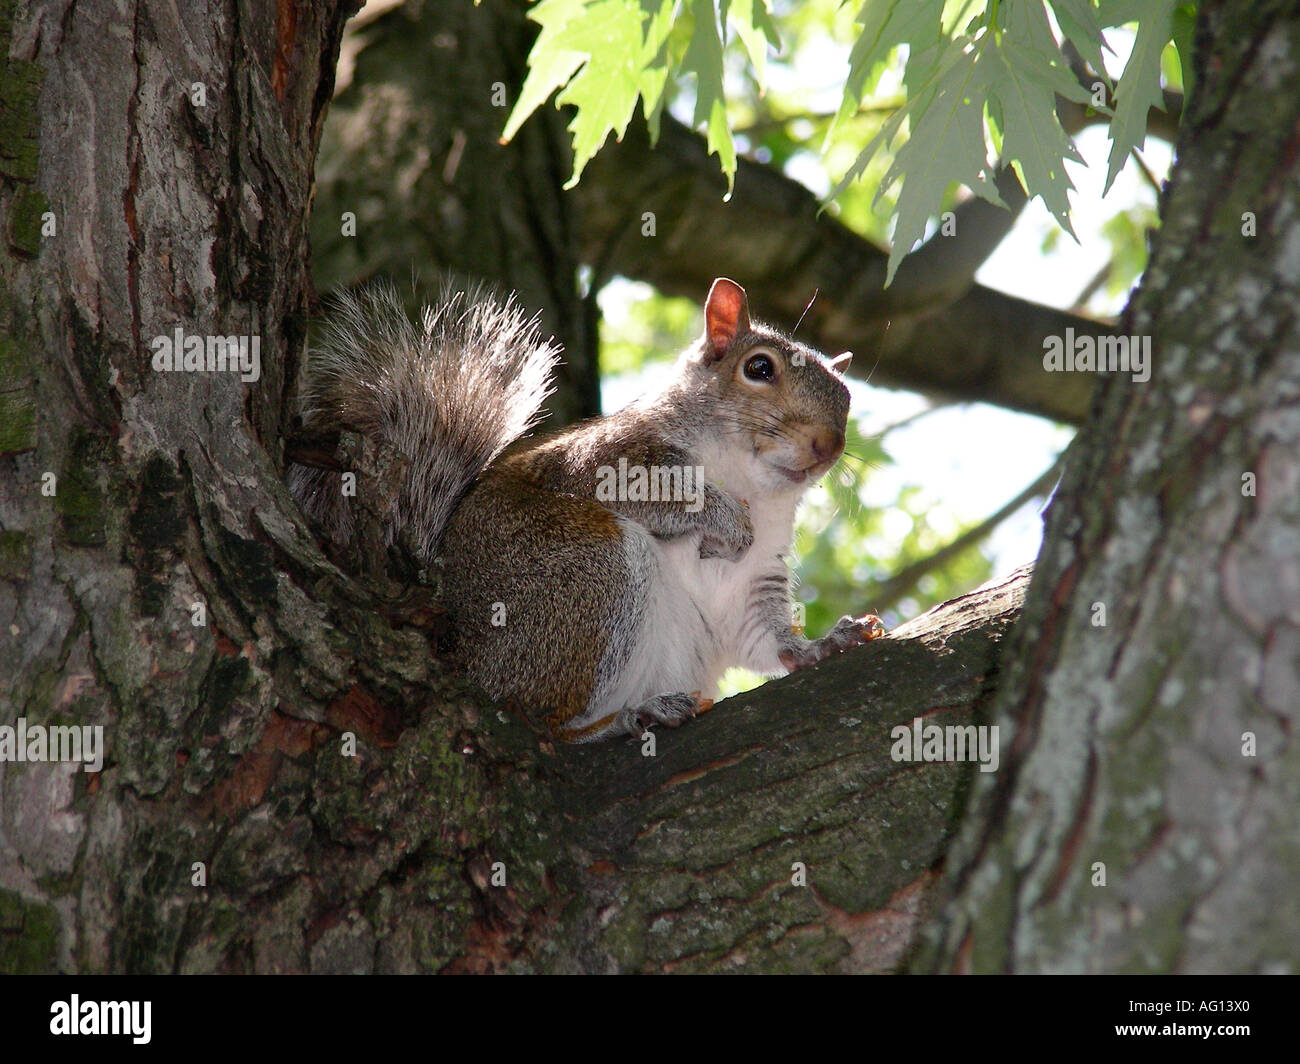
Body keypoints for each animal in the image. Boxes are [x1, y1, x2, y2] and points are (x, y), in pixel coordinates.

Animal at [288, 278, 883, 742]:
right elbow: (666, 494)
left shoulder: (758, 576)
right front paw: (724, 519)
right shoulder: (605, 462)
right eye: (759, 368)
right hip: (590, 568)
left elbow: (763, 634)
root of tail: (460, 649)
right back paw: (625, 719)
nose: (828, 444)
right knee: (540, 723)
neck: (751, 483)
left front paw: (821, 644)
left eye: (847, 396)